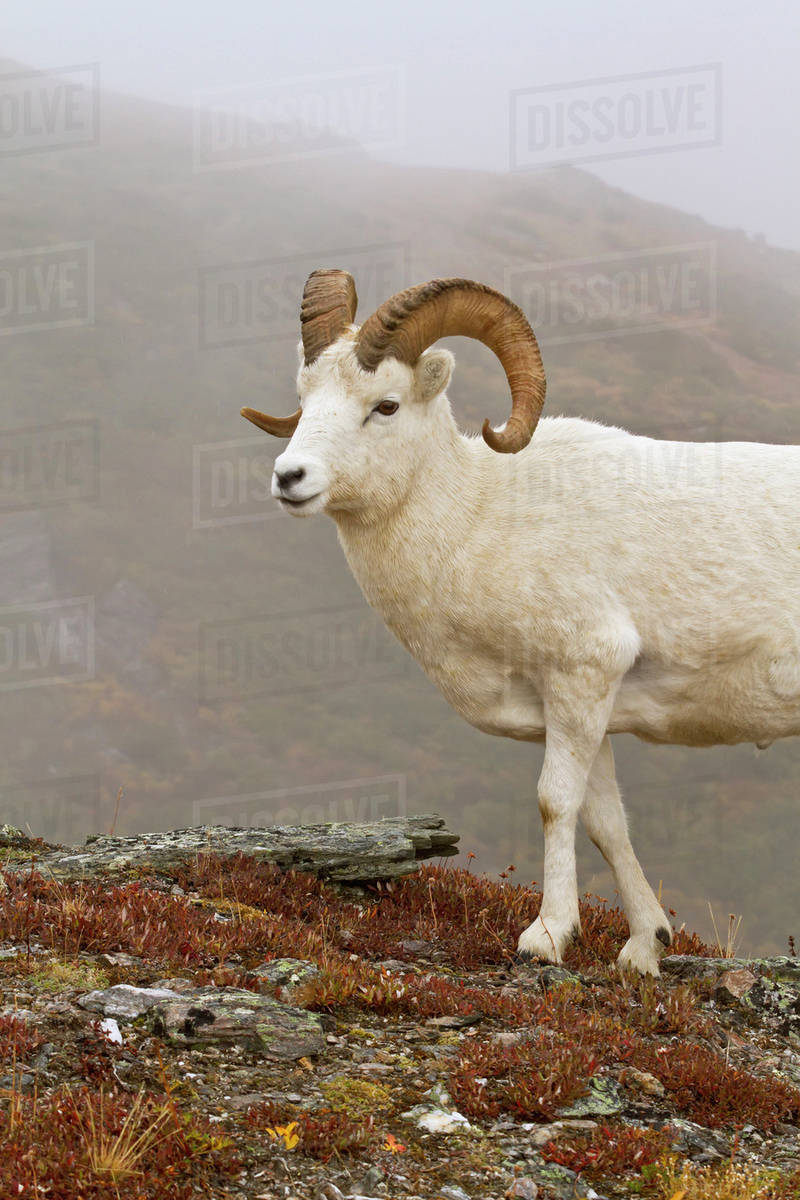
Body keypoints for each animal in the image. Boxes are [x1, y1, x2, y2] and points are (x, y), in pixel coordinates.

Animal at [241, 269, 800, 976]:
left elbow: (554, 802)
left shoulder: (582, 674)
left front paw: (547, 936)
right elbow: (605, 821)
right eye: (304, 397)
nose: (290, 478)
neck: (482, 515)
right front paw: (644, 947)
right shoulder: (583, 708)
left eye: (385, 405)